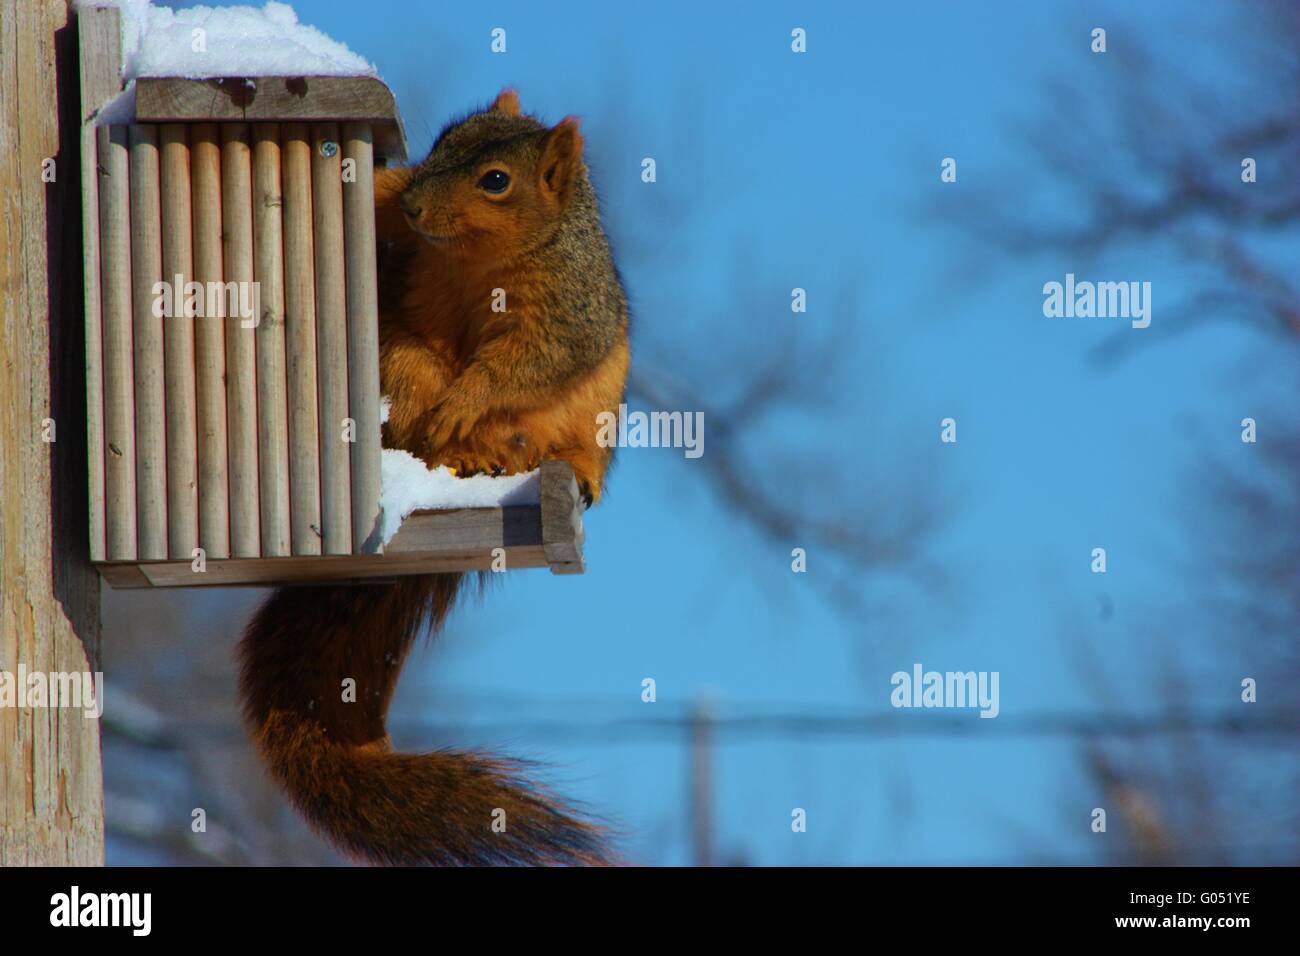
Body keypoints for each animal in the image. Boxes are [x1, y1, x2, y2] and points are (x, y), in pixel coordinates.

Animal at [236, 90, 630, 865]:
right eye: (445, 139)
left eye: (497, 181)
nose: (420, 205)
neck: (477, 258)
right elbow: (383, 200)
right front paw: (371, 183)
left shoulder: (564, 308)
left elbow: (527, 361)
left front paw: (470, 398)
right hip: (400, 354)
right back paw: (458, 450)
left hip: (597, 410)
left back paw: (531, 459)